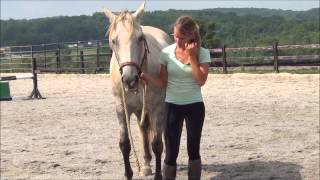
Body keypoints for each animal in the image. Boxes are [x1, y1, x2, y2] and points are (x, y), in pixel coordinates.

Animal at [104, 2, 171, 180]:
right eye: (113, 41)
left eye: (140, 38)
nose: (129, 79)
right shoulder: (121, 108)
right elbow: (124, 144)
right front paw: (129, 174)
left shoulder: (156, 108)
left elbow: (157, 144)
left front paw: (159, 175)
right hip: (140, 109)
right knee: (143, 128)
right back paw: (146, 165)